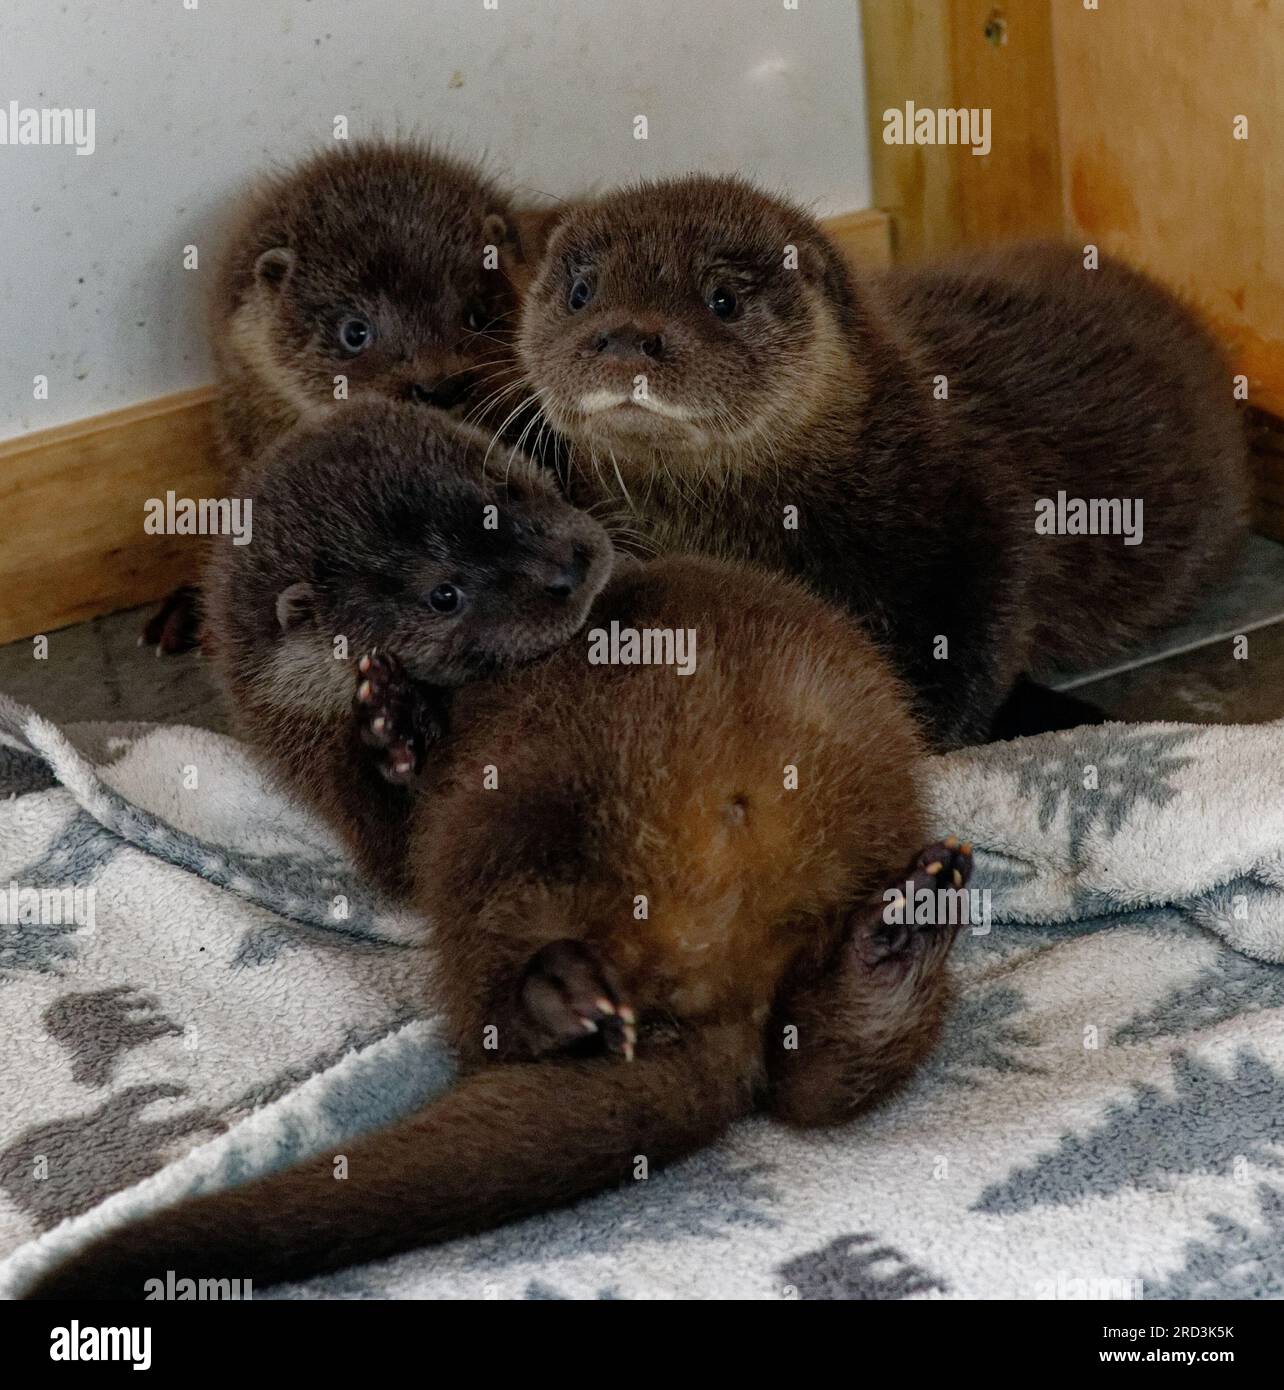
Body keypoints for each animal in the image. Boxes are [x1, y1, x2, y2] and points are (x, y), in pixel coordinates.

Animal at [28, 407, 967, 1298]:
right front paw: (390, 718)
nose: (567, 565)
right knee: (513, 1017)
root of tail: (719, 981)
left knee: (818, 1081)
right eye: (441, 595)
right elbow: (390, 839)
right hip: (499, 833)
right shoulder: (333, 786)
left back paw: (903, 928)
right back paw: (568, 995)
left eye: (508, 489)